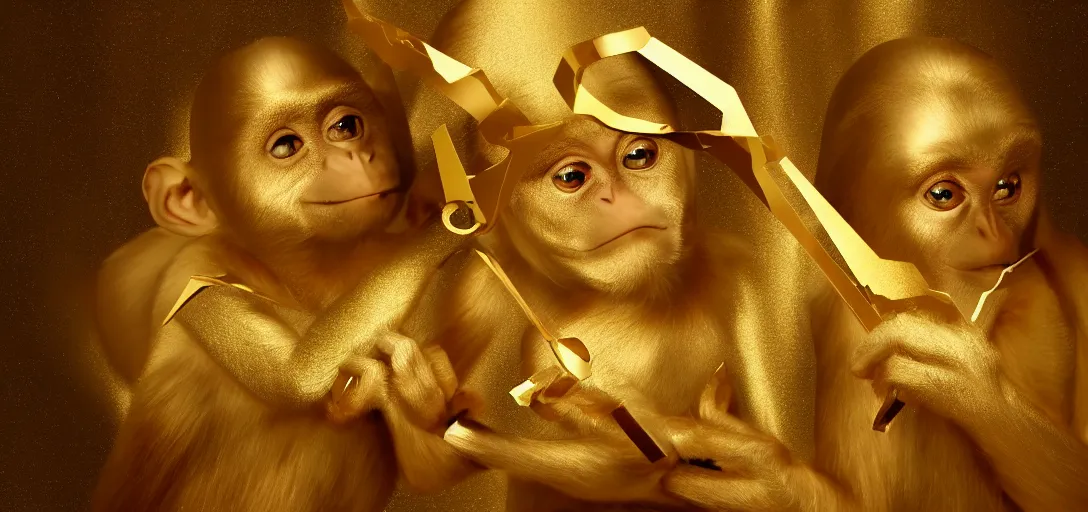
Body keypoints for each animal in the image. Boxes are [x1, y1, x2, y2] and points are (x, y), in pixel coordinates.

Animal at [92, 37, 475, 512]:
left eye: (347, 126)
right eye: (285, 147)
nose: (355, 154)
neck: (299, 281)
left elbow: (435, 467)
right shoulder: (195, 267)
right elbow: (295, 375)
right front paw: (461, 212)